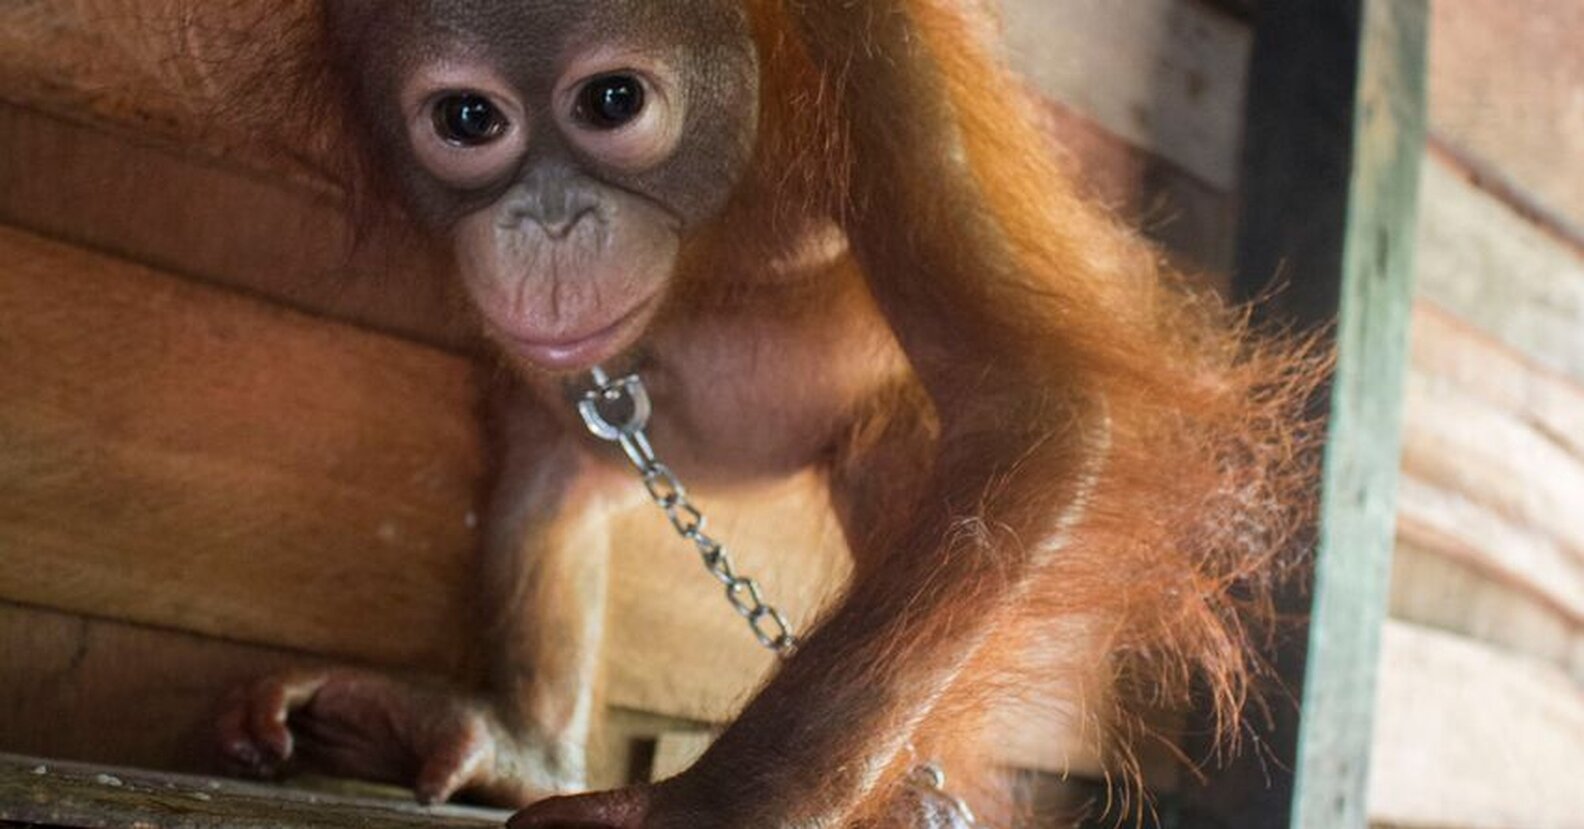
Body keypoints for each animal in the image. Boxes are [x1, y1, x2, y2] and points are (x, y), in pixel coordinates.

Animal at [211, 0, 1323, 826]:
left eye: (613, 99)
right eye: (468, 122)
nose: (551, 220)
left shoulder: (879, 52)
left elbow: (1022, 402)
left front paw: (704, 814)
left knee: (906, 453)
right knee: (555, 455)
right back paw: (524, 744)